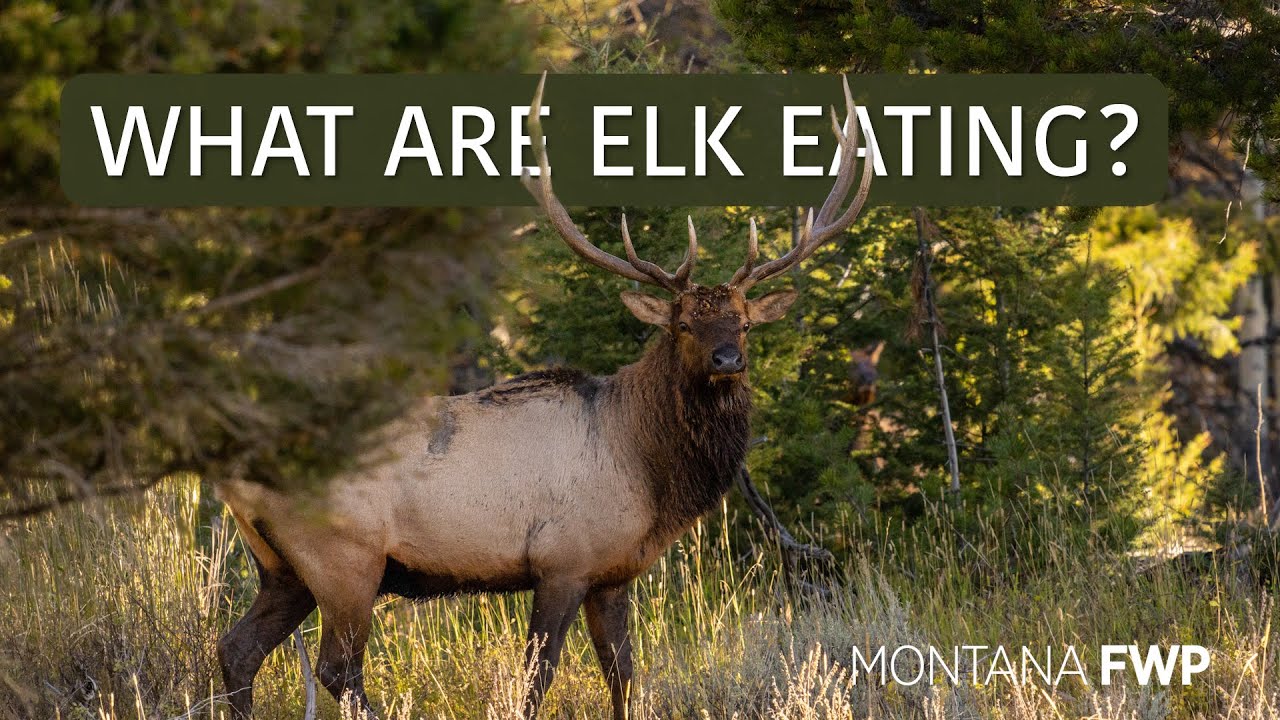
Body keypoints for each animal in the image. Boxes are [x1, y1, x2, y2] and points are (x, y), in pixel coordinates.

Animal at [214, 74, 873, 720]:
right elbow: (538, 678)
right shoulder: (562, 561)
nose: (727, 359)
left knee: (237, 648)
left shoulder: (612, 573)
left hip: (283, 569)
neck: (648, 468)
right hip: (345, 559)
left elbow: (623, 677)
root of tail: (231, 478)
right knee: (336, 669)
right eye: (683, 324)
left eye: (744, 323)